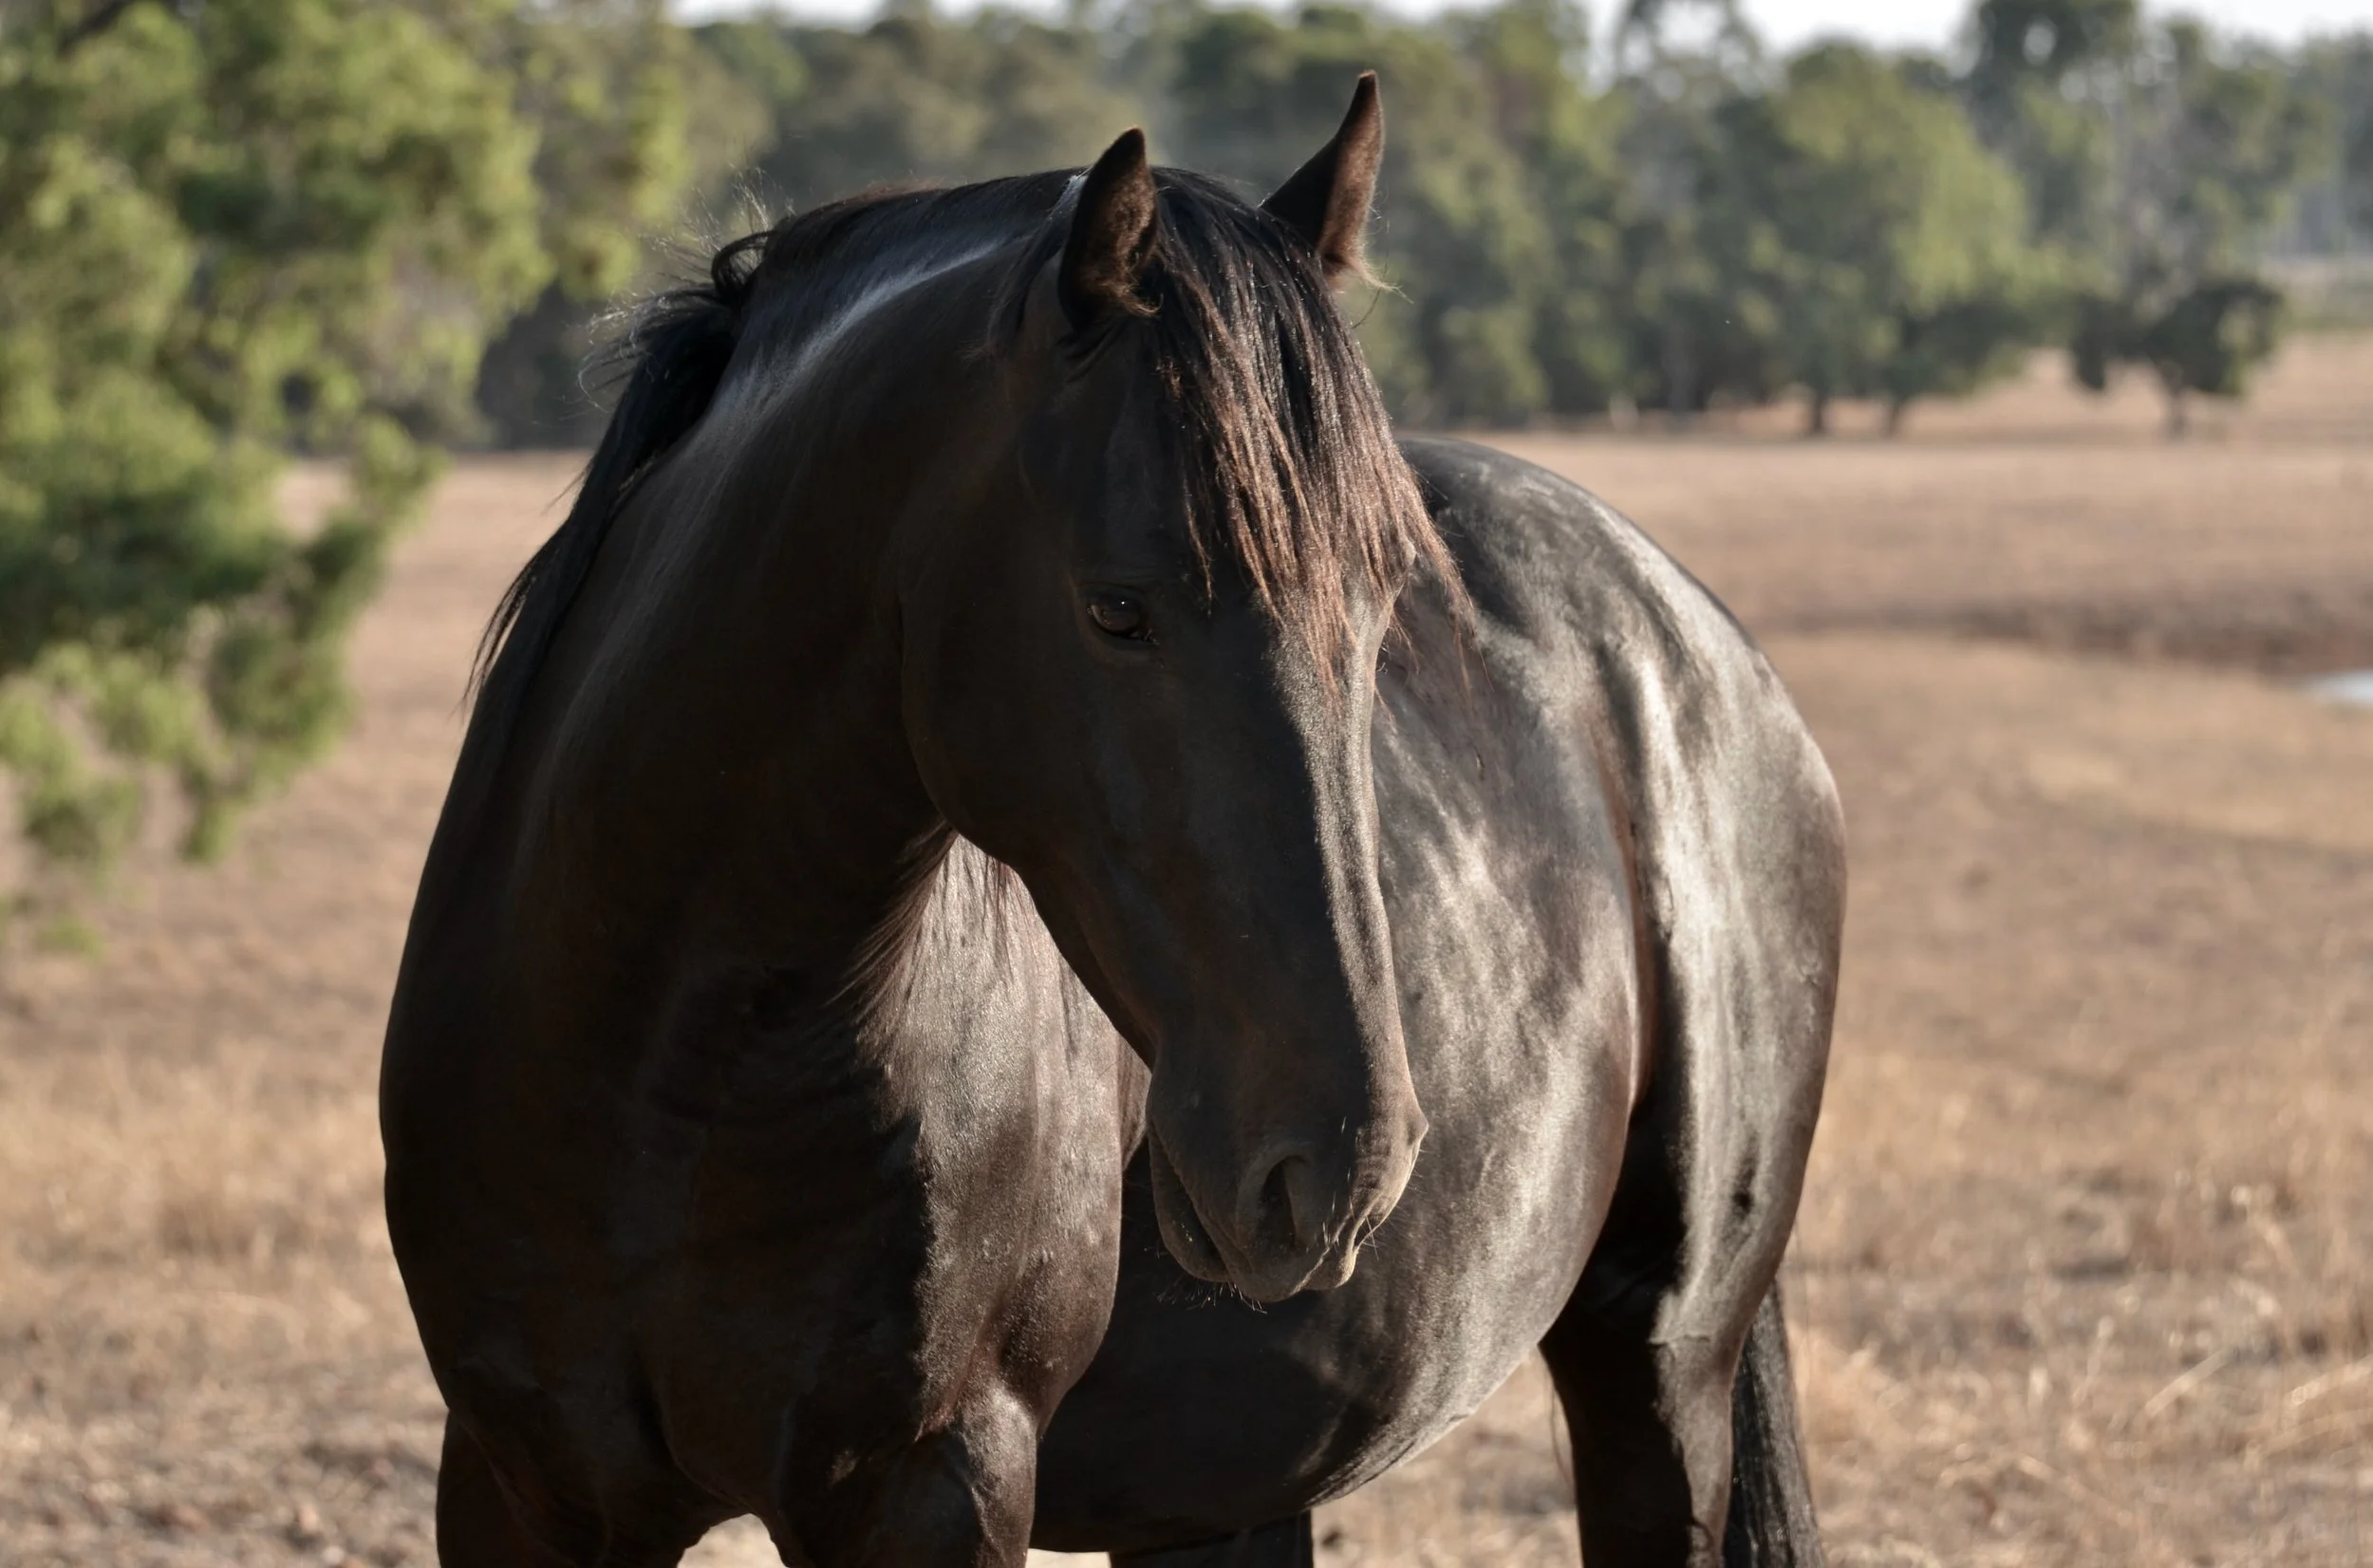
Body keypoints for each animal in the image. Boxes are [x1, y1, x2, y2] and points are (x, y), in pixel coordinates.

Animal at [381, 75, 1843, 1568]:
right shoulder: (521, 1482)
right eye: (1118, 608)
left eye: (1384, 604)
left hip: (1658, 1368)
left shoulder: (932, 1485)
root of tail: (1699, 639)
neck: (679, 1067)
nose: (1340, 1166)